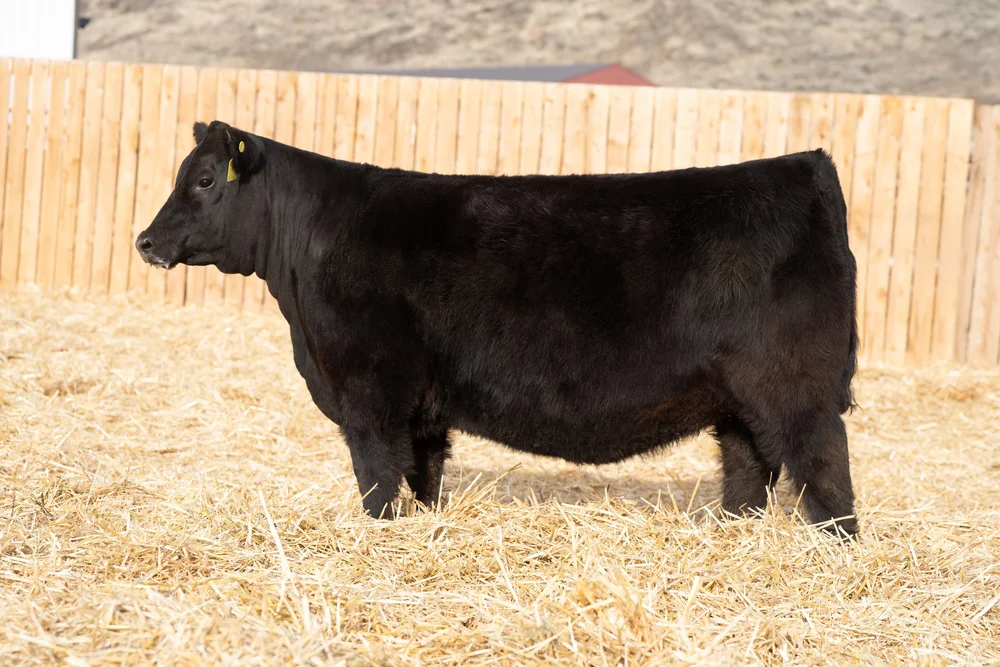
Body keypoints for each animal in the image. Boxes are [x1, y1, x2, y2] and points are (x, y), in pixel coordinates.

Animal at [135, 119, 860, 539]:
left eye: (205, 179)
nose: (145, 241)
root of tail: (808, 166)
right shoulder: (421, 408)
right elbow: (422, 476)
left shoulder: (371, 394)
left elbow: (377, 479)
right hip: (739, 404)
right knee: (747, 470)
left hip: (799, 395)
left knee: (826, 474)